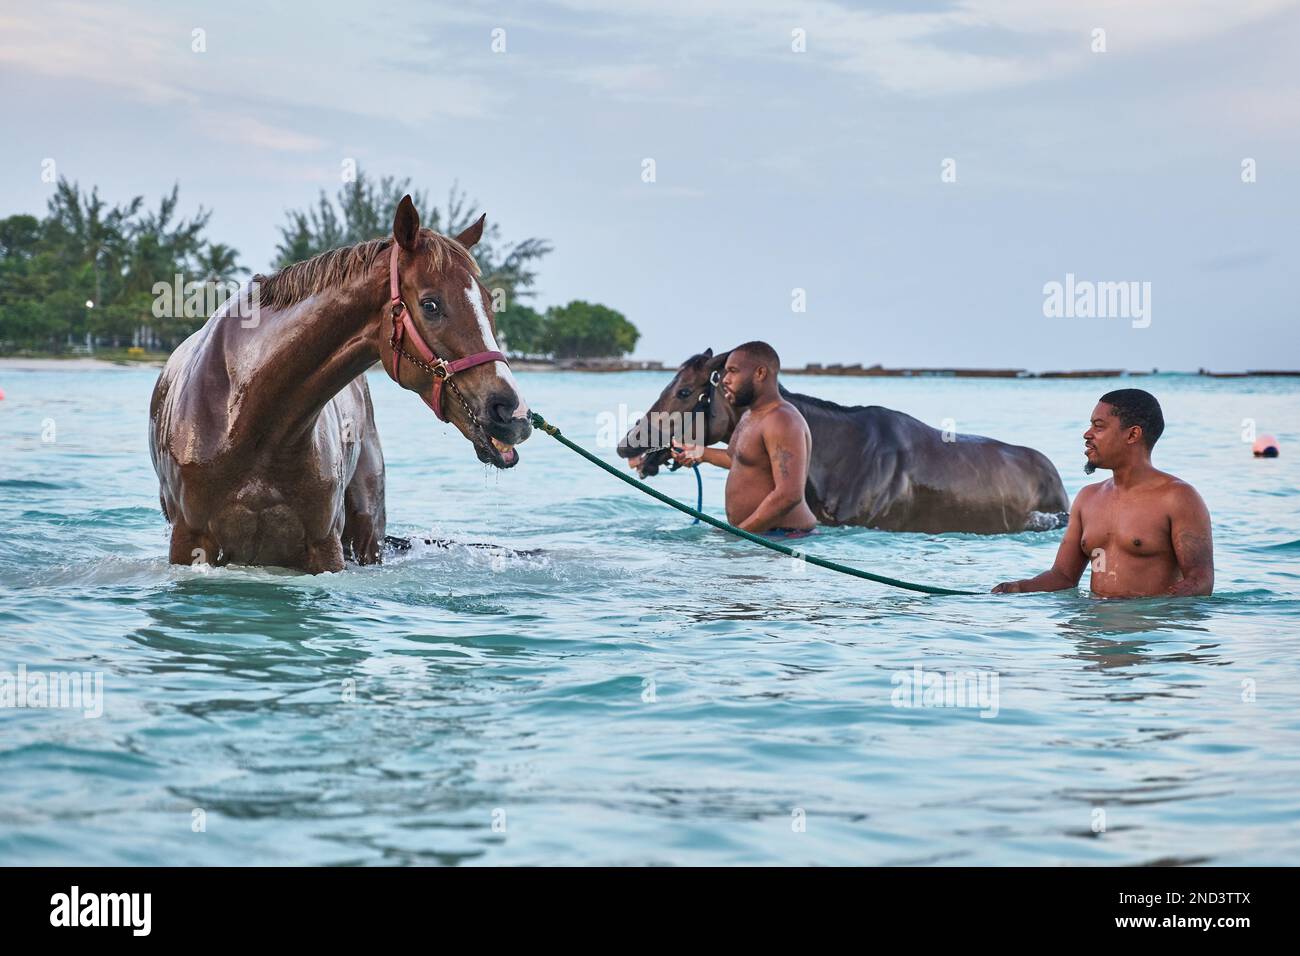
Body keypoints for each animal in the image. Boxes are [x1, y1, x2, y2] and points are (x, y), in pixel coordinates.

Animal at [149, 195, 531, 573]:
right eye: (431, 305)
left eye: (488, 303)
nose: (512, 413)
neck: (249, 422)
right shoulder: (189, 543)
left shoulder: (325, 548)